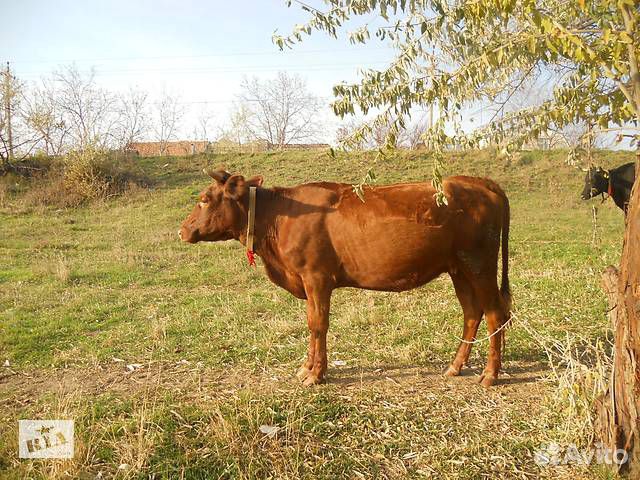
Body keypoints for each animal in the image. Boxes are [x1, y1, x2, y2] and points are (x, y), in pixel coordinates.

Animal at [180, 170, 512, 388]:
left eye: (204, 199)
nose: (182, 230)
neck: (278, 217)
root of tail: (477, 181)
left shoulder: (316, 278)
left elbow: (318, 324)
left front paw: (316, 374)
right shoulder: (308, 281)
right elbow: (311, 323)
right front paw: (306, 368)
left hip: (479, 265)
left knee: (495, 313)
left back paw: (489, 375)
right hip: (459, 268)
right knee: (472, 312)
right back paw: (455, 366)